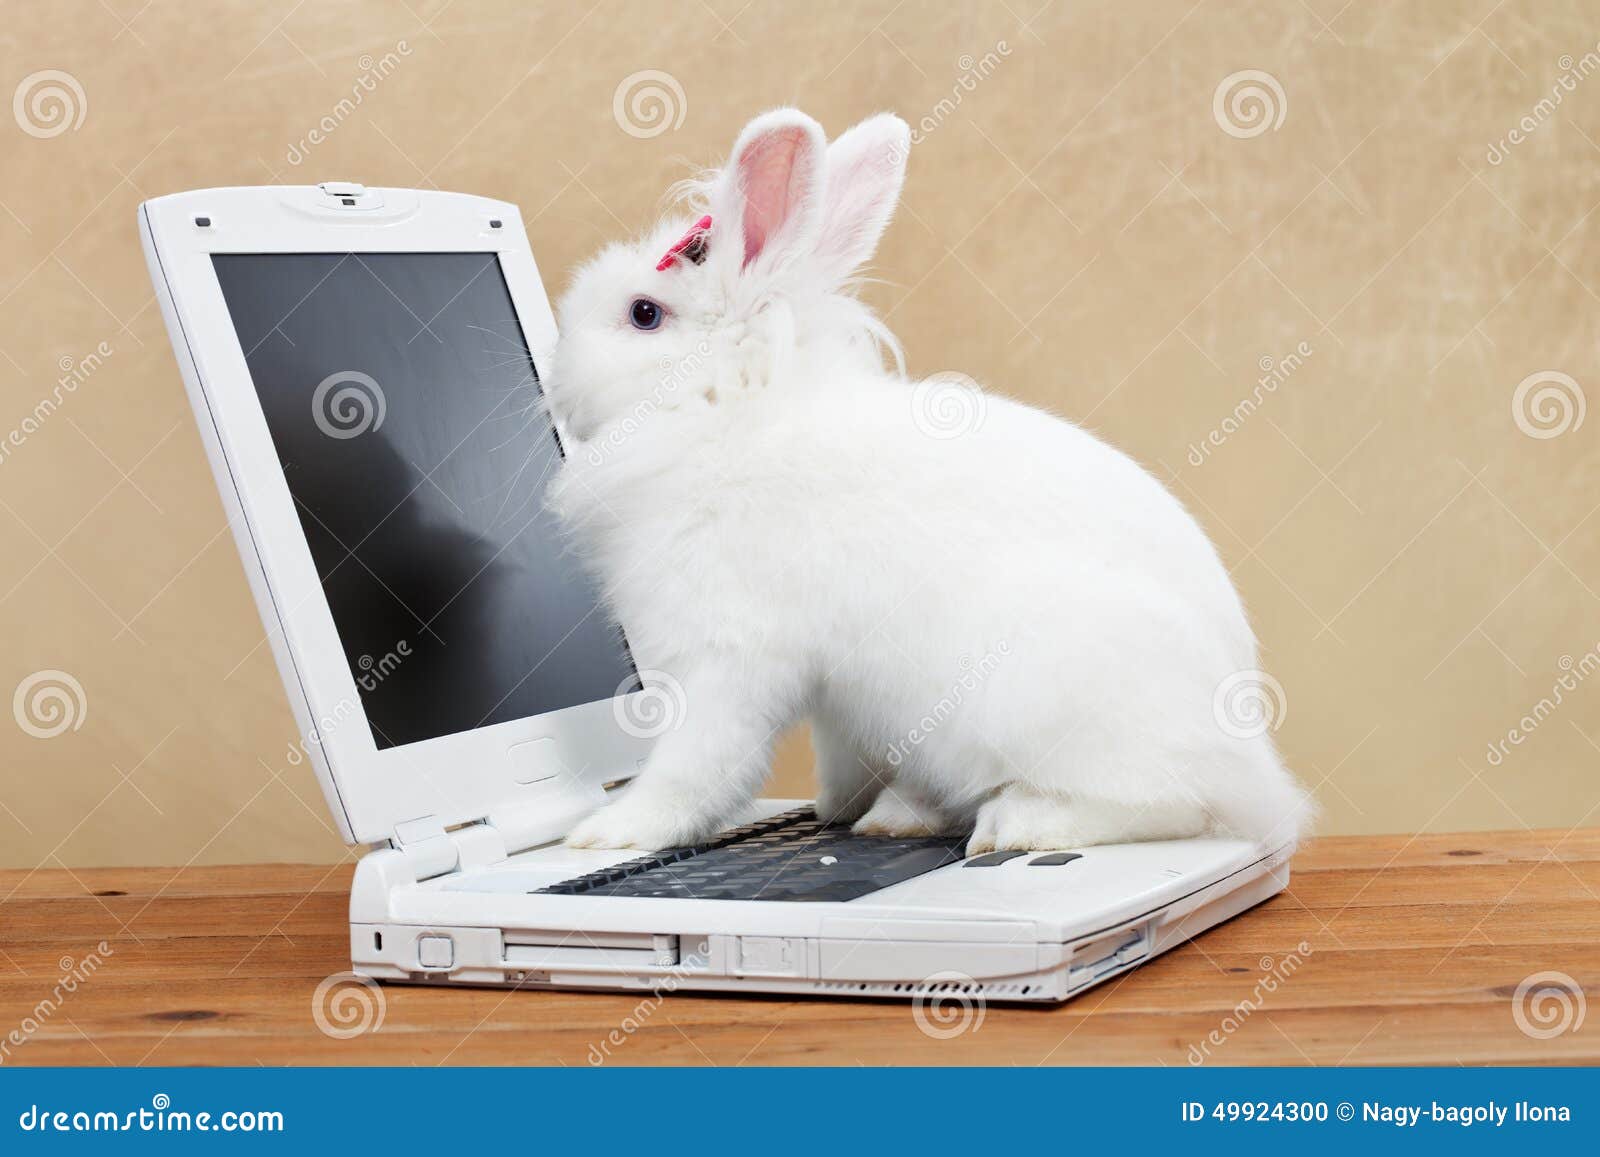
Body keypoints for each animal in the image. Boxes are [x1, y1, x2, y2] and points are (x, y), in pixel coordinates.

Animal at [545, 108, 1314, 855]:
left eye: (644, 313)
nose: (557, 377)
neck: (725, 411)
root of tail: (1247, 751)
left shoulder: (725, 656)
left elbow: (694, 764)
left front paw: (612, 833)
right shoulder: (833, 696)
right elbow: (837, 756)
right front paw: (835, 809)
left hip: (1041, 705)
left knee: (1168, 804)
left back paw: (1017, 826)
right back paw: (901, 814)